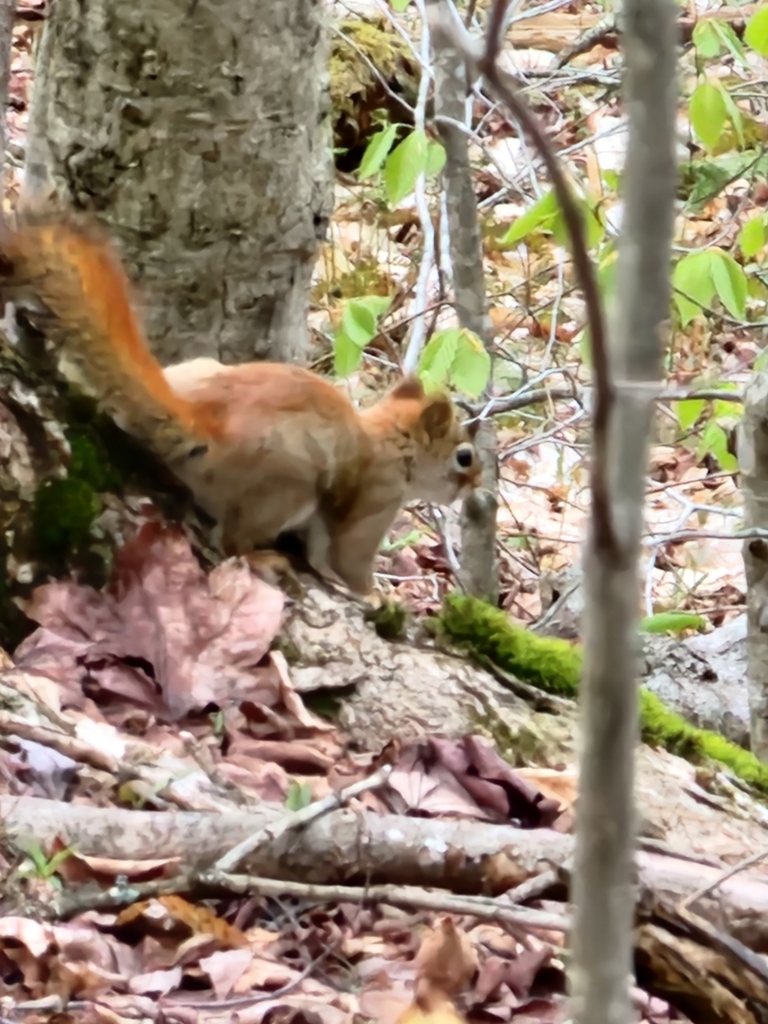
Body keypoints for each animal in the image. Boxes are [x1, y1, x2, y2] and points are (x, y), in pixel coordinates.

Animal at [0, 209, 481, 595]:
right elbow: (349, 558)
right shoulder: (376, 499)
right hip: (289, 482)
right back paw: (263, 557)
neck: (390, 438)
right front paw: (376, 597)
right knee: (231, 541)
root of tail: (202, 426)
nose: (475, 487)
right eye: (464, 456)